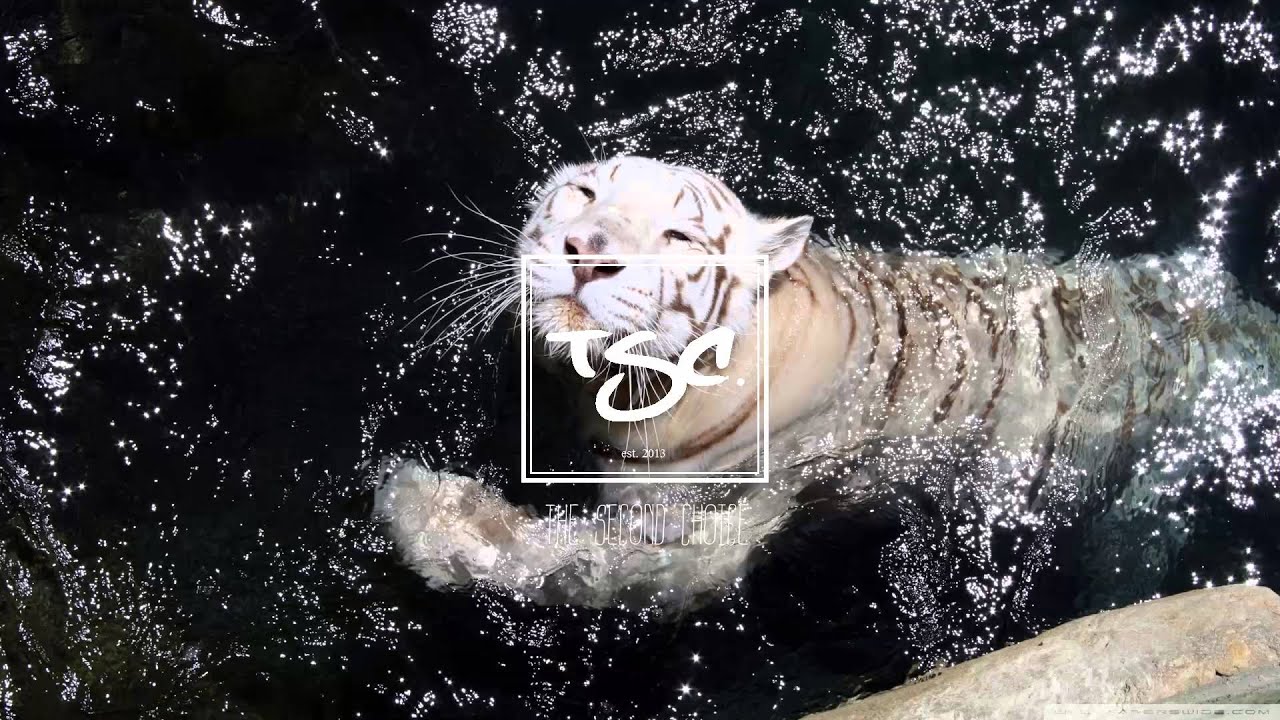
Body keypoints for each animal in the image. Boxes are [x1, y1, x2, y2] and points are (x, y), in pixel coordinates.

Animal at [376, 155, 1280, 609]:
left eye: (678, 235)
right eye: (584, 193)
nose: (587, 252)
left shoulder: (715, 532)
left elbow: (584, 564)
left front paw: (424, 515)